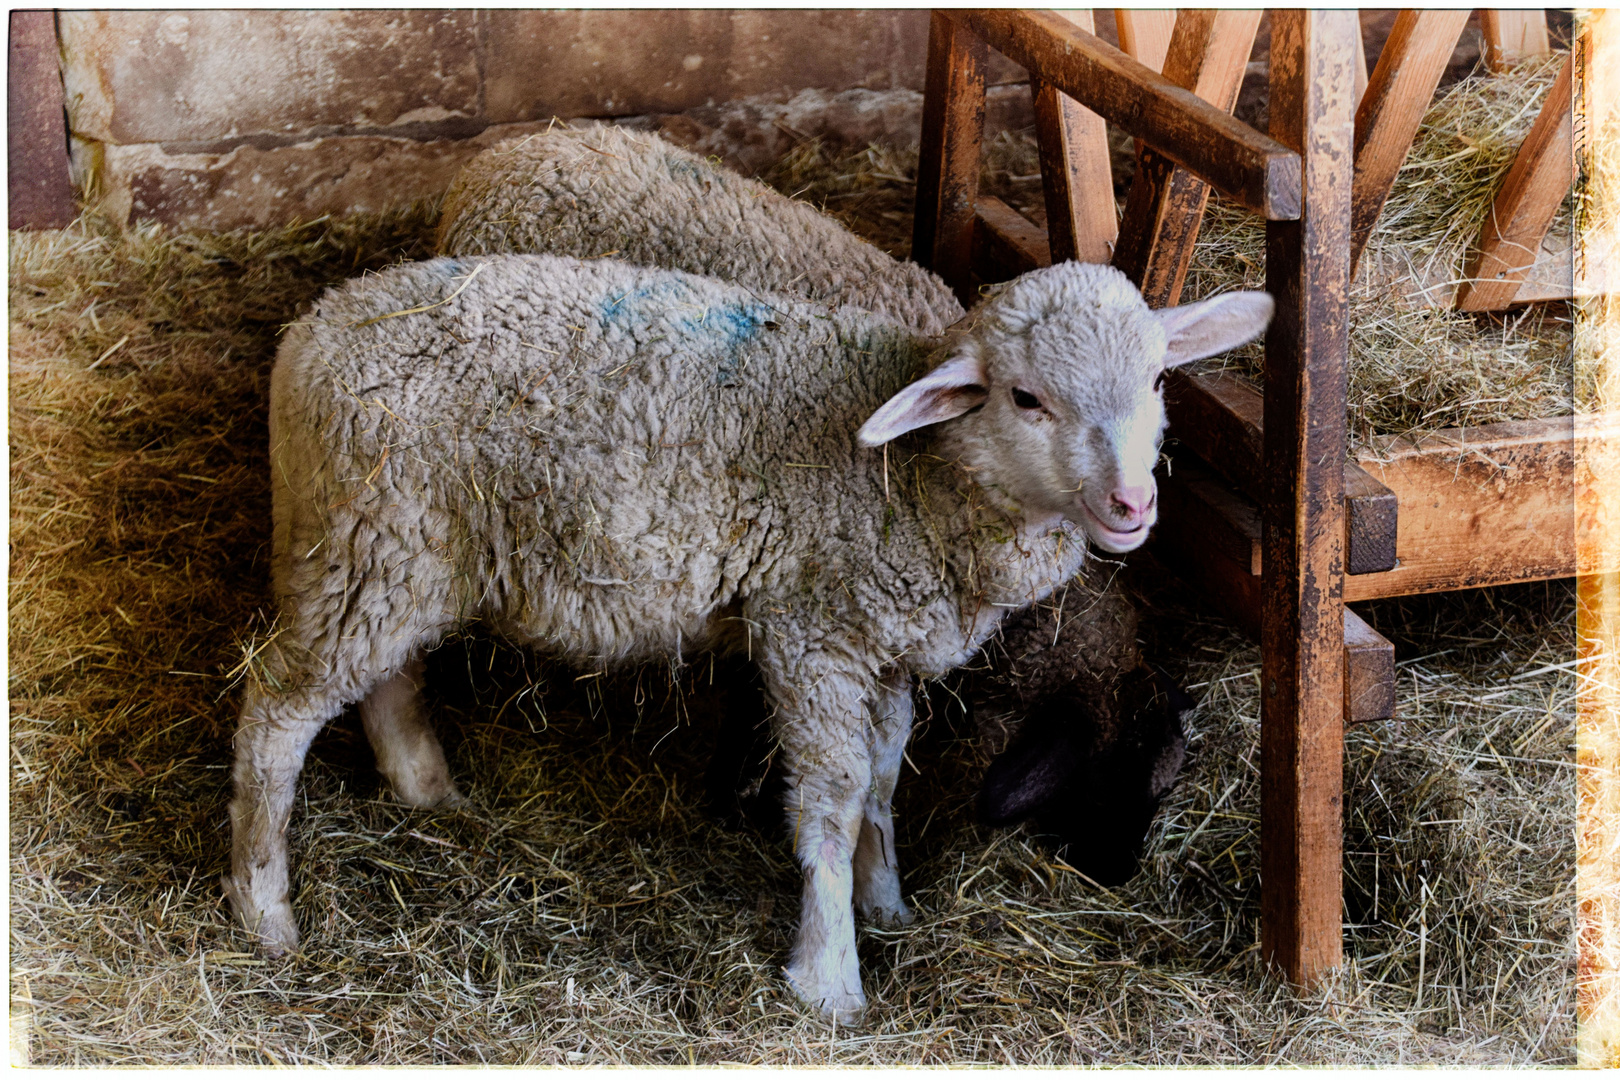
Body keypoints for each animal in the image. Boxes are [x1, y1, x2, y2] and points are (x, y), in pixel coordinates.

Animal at [225, 249, 1271, 1022]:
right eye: (1025, 398)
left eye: (1158, 377)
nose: (1132, 507)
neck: (916, 480)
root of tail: (311, 329)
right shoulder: (812, 632)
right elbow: (831, 796)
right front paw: (831, 976)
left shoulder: (884, 640)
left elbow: (882, 777)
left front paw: (887, 904)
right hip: (362, 541)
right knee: (275, 716)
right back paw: (263, 909)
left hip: (400, 556)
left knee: (385, 675)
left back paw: (425, 787)